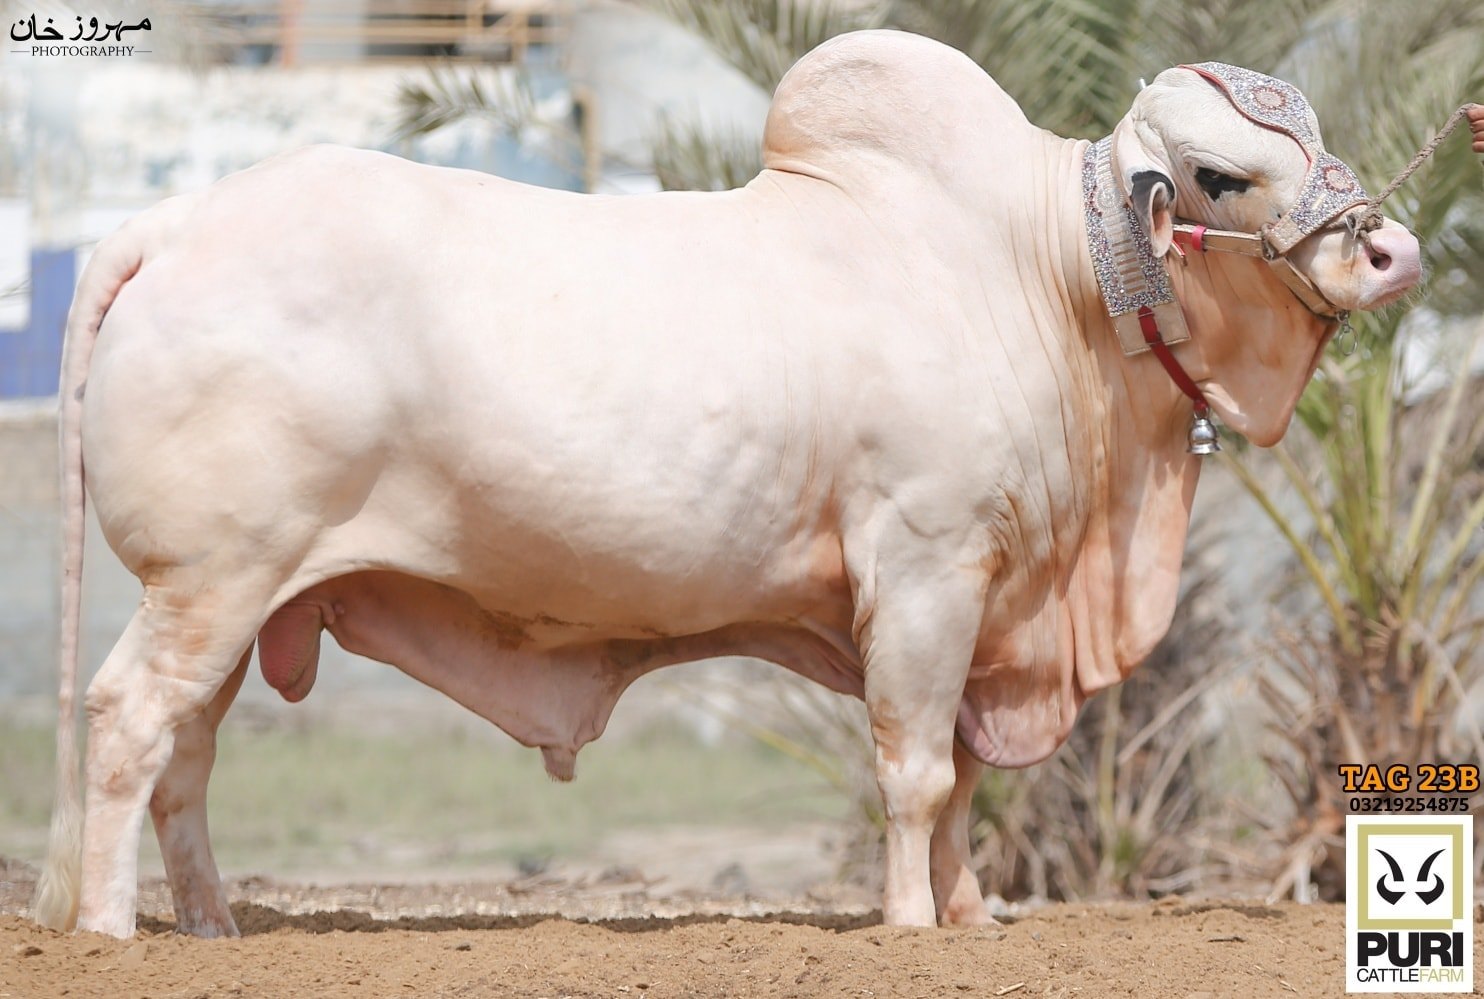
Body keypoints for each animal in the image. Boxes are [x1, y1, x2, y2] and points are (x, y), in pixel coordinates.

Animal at [32, 30, 1421, 937]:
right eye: (1221, 175)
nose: (1392, 250)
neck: (1043, 276)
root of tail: (173, 225)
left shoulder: (985, 608)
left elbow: (963, 783)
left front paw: (970, 919)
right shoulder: (926, 571)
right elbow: (917, 774)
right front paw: (907, 928)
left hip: (235, 597)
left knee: (188, 754)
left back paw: (212, 931)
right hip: (210, 579)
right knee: (127, 725)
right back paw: (107, 933)